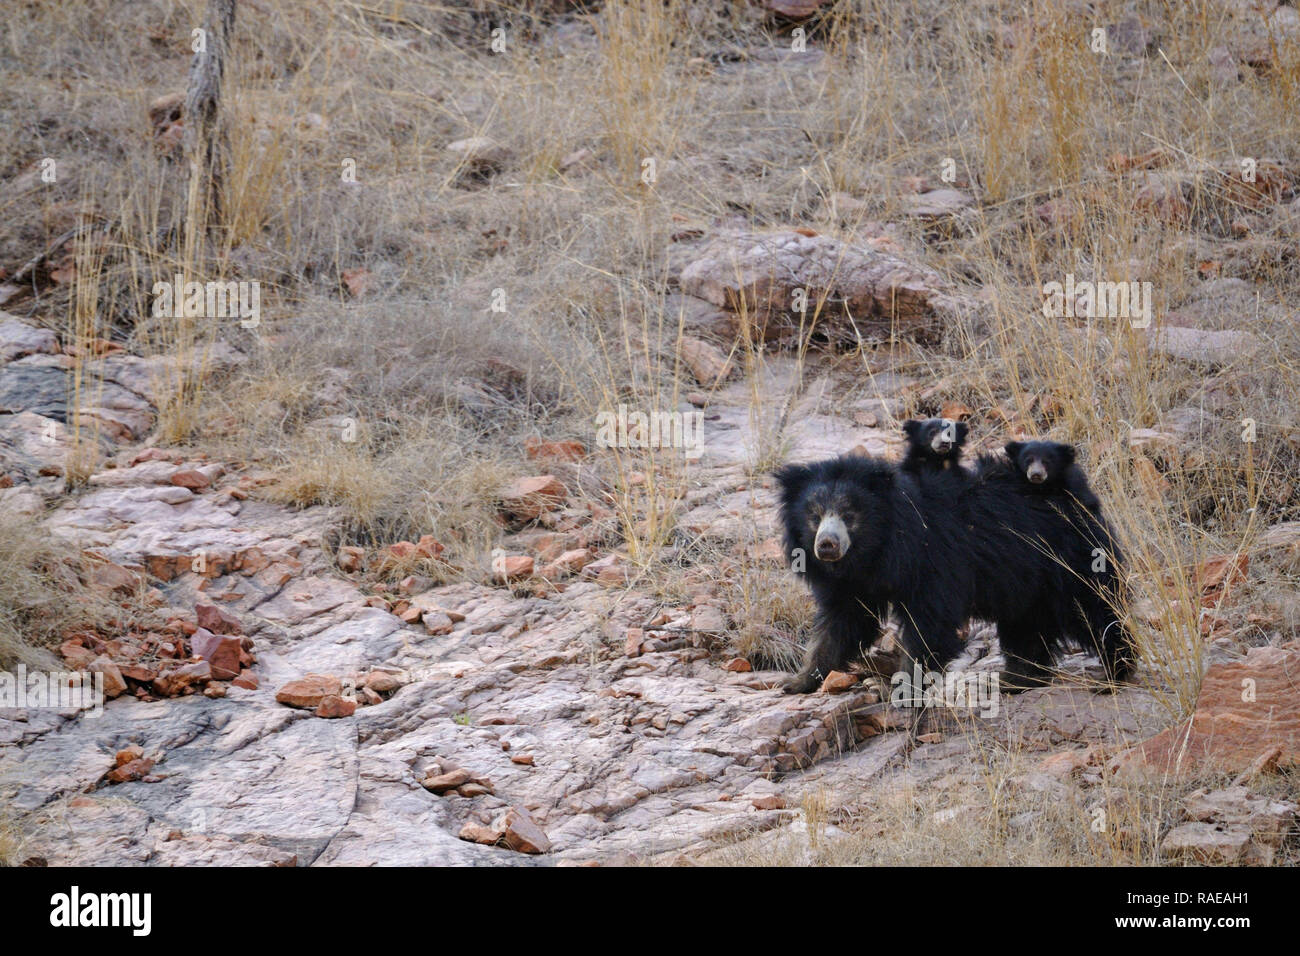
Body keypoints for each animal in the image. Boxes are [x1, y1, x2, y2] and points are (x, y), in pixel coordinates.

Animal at [773, 453, 1132, 695]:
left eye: (849, 515)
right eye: (814, 516)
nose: (827, 545)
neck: (877, 552)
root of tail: (1079, 492)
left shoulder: (934, 560)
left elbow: (928, 623)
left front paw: (904, 686)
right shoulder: (851, 583)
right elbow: (843, 622)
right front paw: (796, 681)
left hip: (1066, 558)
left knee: (1093, 609)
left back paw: (1114, 673)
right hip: (1024, 580)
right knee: (1025, 625)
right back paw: (1017, 678)